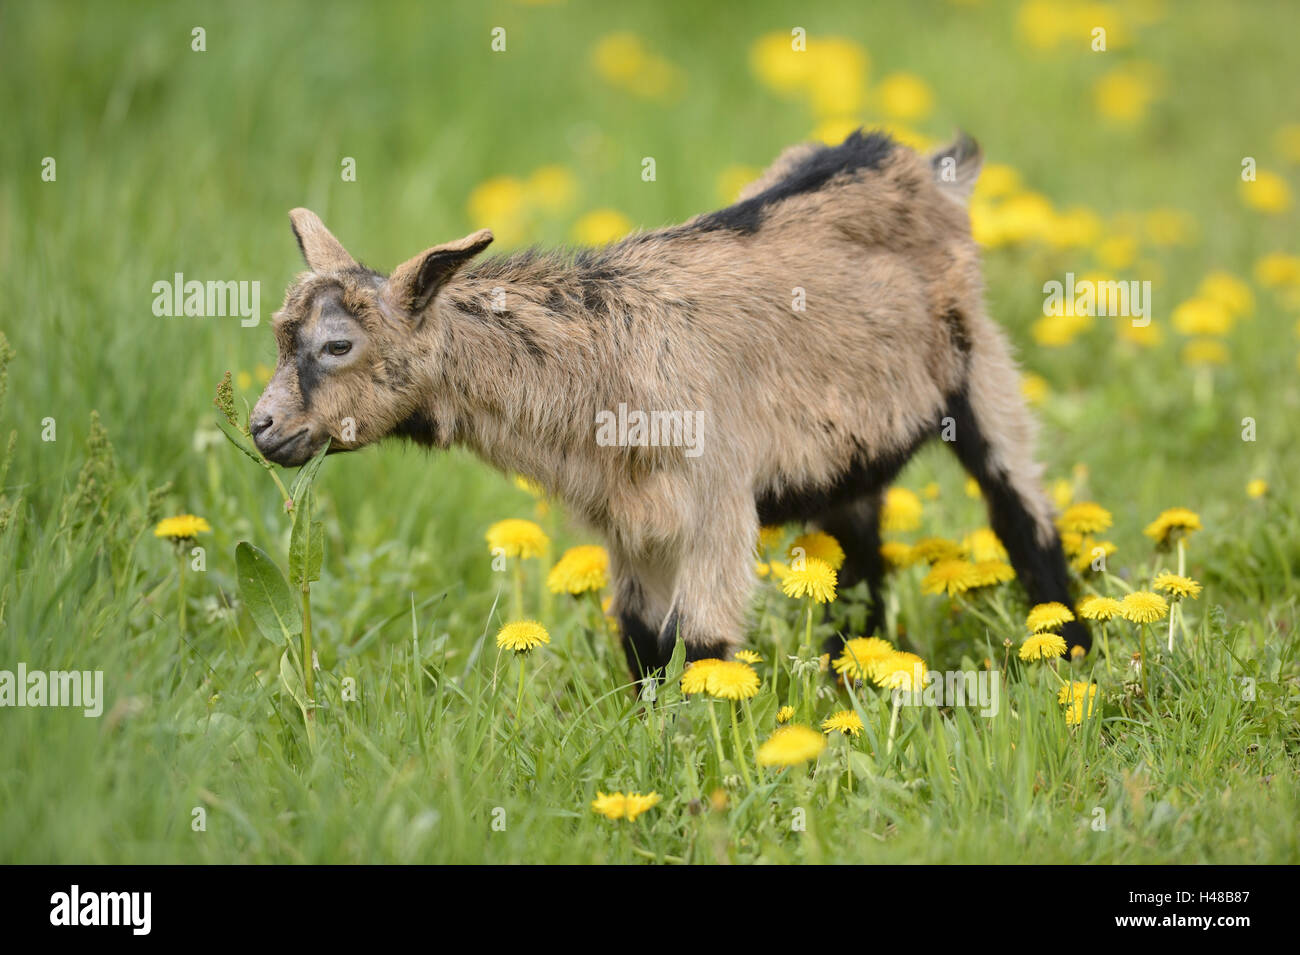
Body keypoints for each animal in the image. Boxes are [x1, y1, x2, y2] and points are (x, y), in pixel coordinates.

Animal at [251, 129, 1089, 678]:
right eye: (279, 334)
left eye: (337, 345)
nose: (263, 426)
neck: (605, 363)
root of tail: (918, 162)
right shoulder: (634, 523)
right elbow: (644, 640)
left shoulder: (715, 498)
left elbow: (703, 644)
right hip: (850, 450)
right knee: (857, 555)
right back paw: (849, 677)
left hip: (984, 370)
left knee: (1023, 512)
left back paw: (1070, 654)